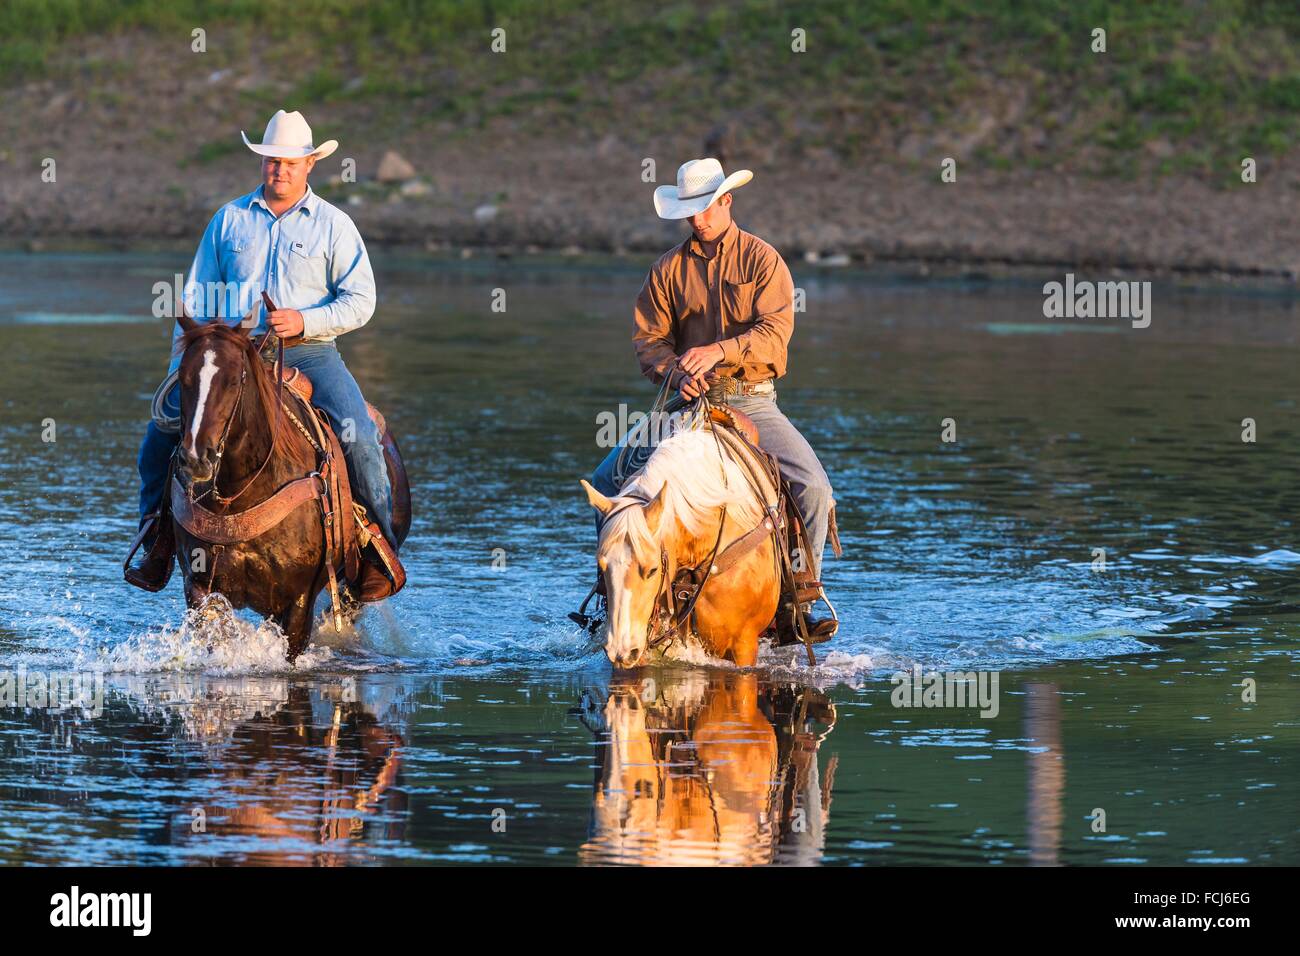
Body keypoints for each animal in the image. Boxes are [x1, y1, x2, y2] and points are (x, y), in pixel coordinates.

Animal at [170, 312, 410, 661]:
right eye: (183, 379)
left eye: (234, 381)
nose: (195, 459)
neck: (239, 493)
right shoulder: (199, 584)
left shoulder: (299, 600)